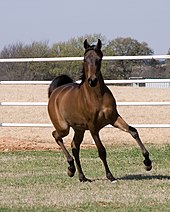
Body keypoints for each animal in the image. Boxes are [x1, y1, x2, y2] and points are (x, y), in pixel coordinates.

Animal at [47, 38, 152, 182]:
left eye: (99, 58)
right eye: (85, 59)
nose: (92, 80)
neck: (97, 96)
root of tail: (55, 92)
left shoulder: (114, 118)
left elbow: (133, 131)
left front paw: (147, 163)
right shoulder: (93, 127)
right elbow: (101, 150)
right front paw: (110, 176)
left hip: (79, 129)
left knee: (74, 146)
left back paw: (81, 176)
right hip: (64, 127)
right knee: (56, 136)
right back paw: (71, 168)